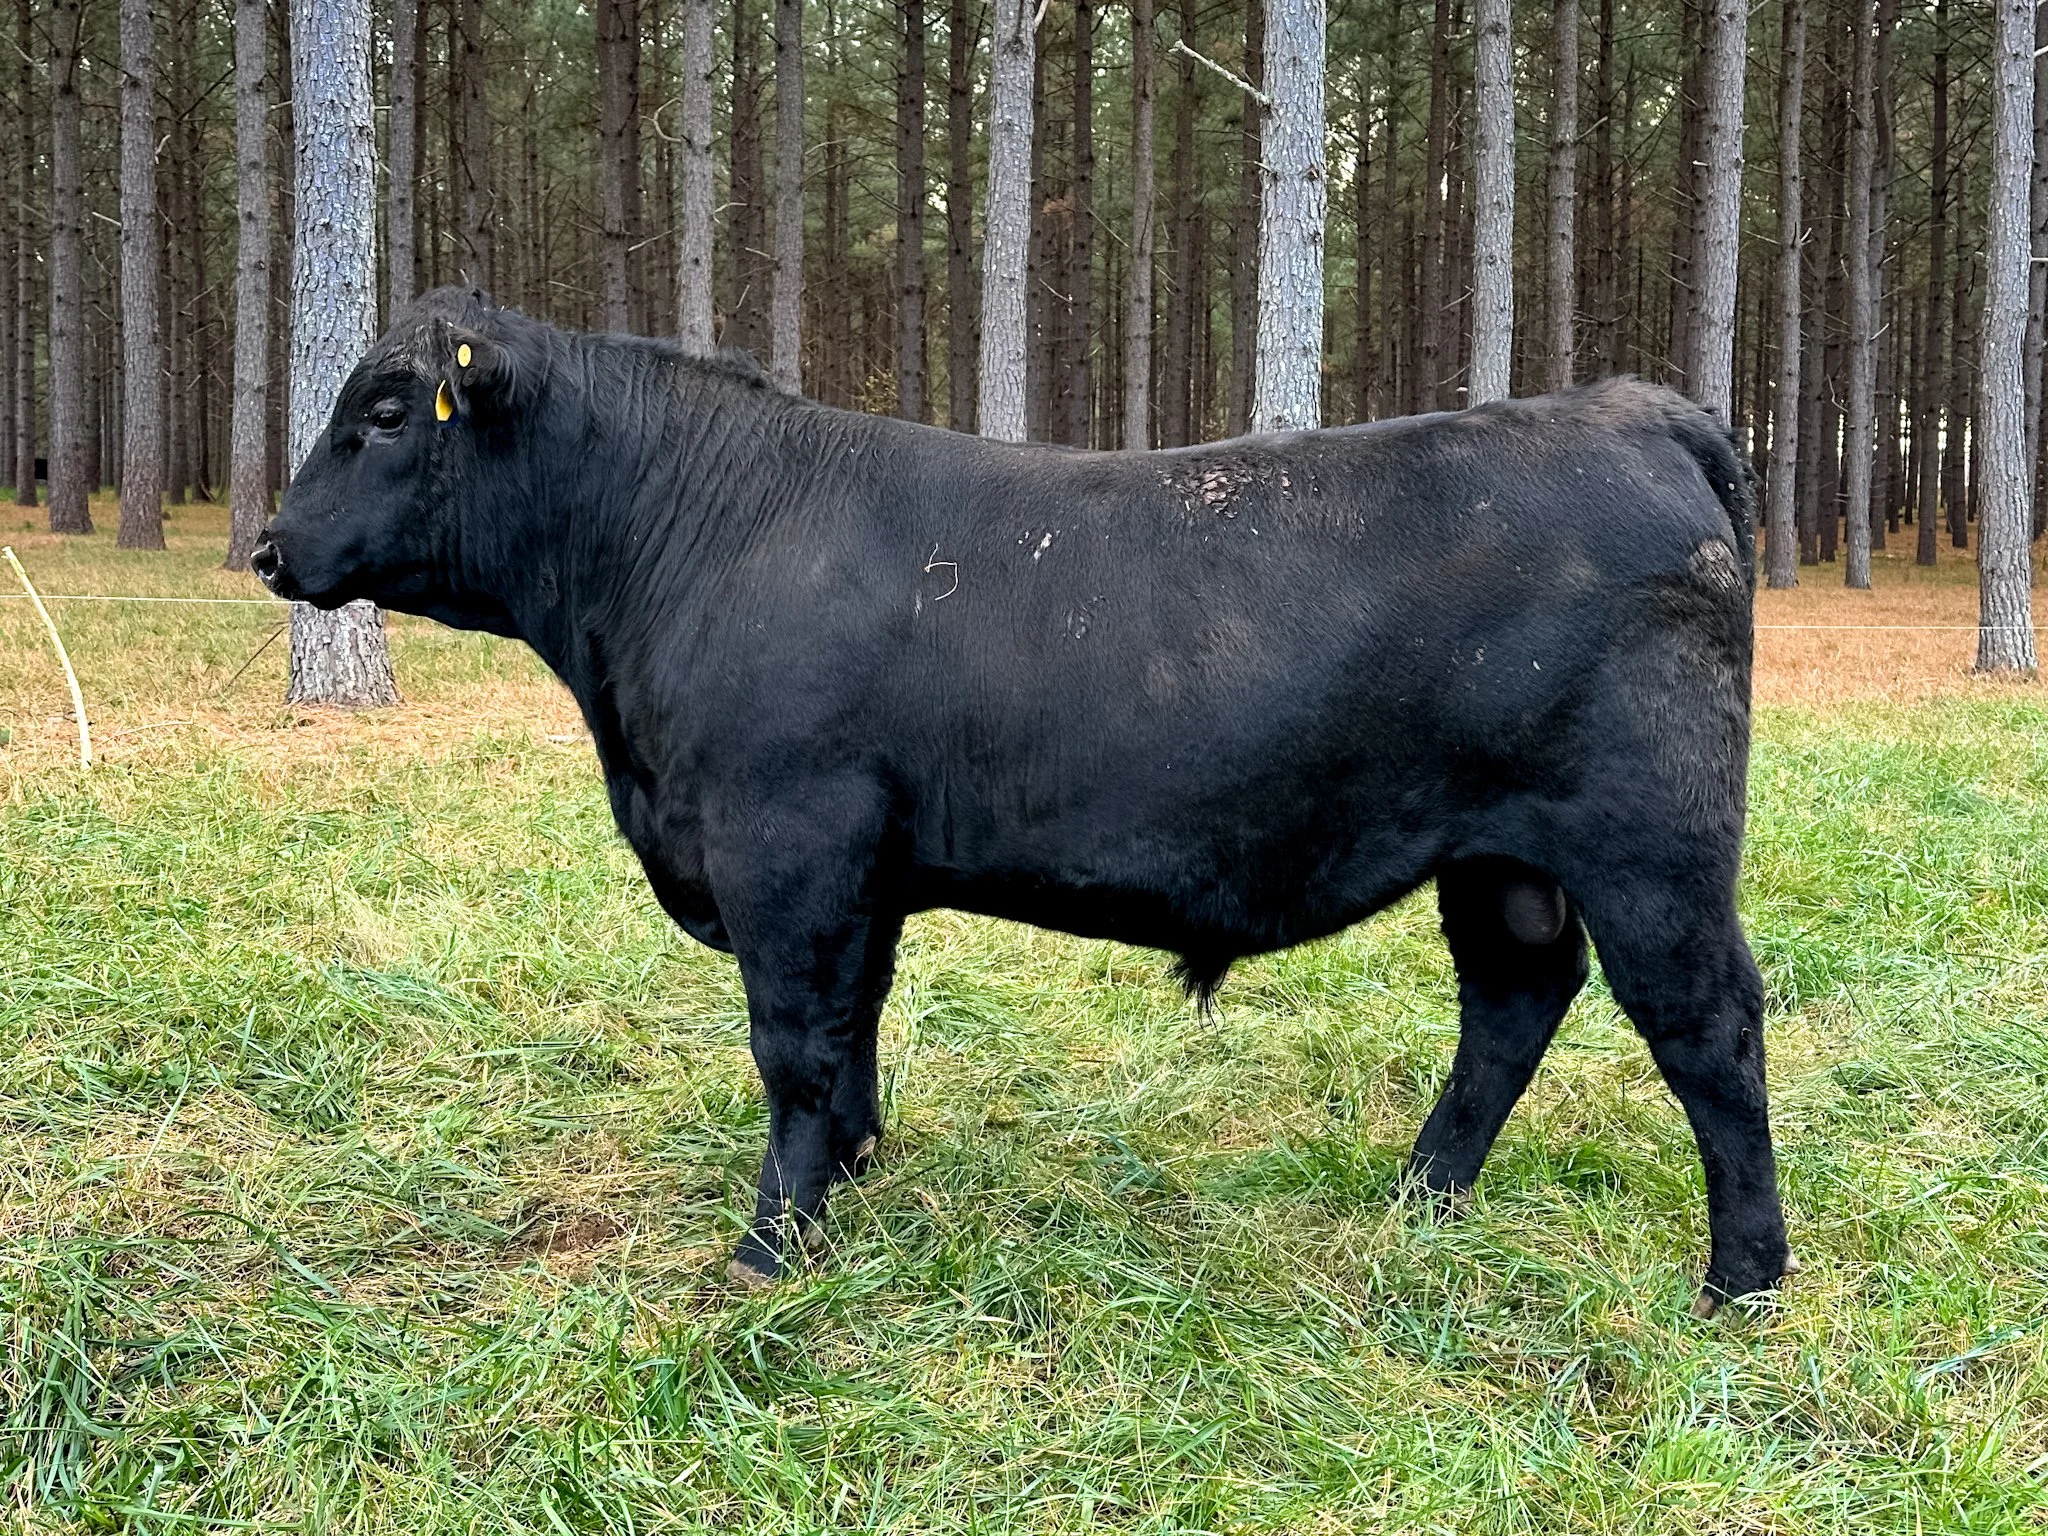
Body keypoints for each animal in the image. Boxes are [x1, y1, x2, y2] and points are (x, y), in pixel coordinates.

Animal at [255, 287, 1792, 1315]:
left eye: (383, 412)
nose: (267, 545)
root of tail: (1633, 408)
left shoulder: (784, 844)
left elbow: (790, 1047)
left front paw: (769, 1251)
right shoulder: (859, 870)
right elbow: (854, 1030)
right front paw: (854, 1177)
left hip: (1648, 841)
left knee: (1708, 1028)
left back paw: (1742, 1279)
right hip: (1497, 855)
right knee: (1513, 1002)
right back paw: (1422, 1200)